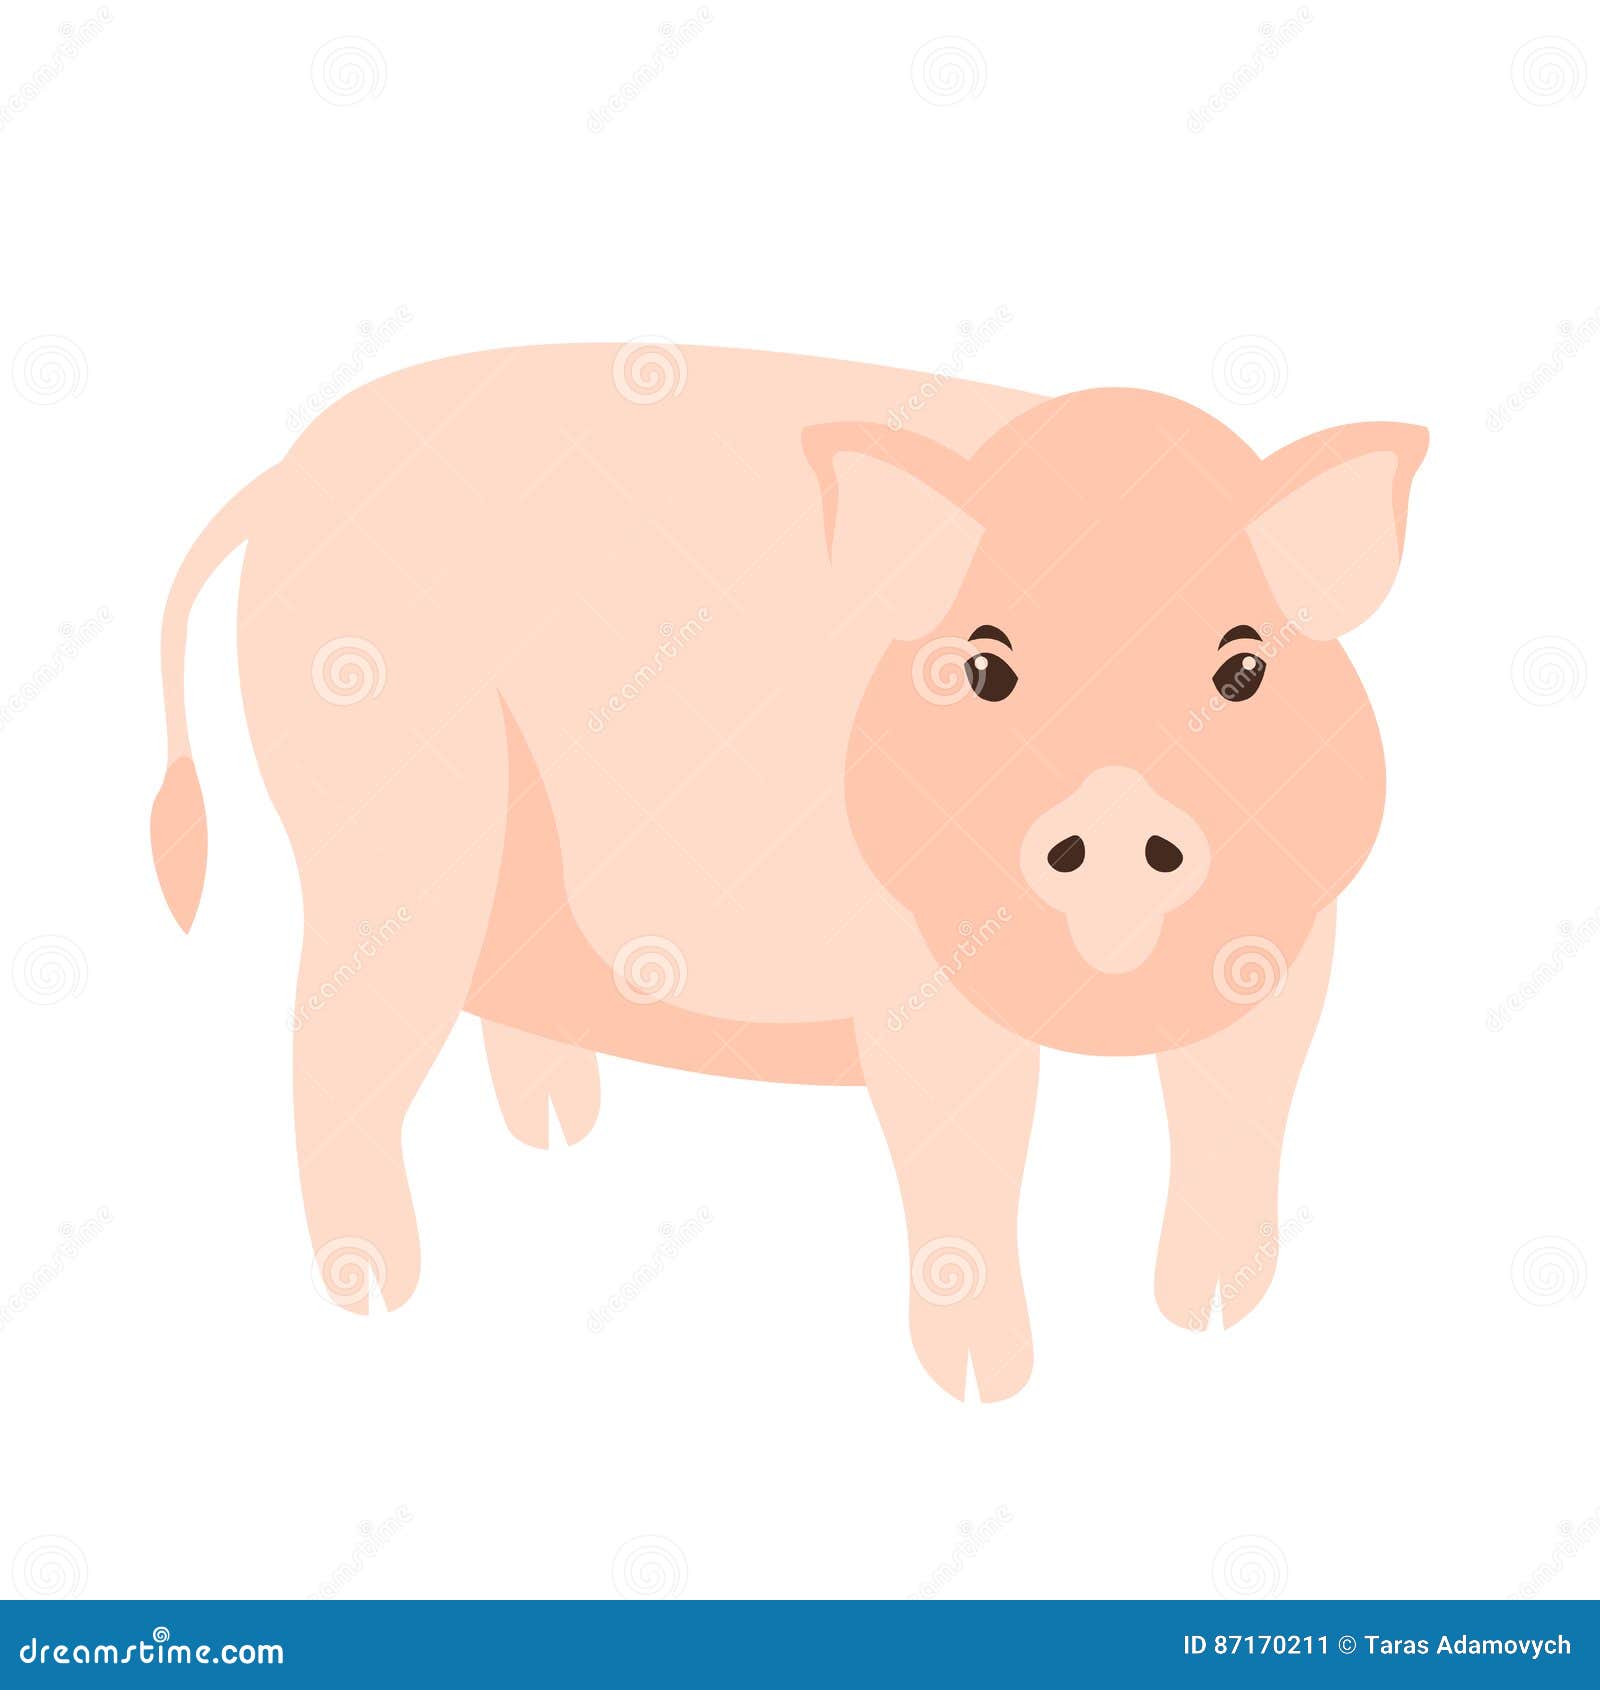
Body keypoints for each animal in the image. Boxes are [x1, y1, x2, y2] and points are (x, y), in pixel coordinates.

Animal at [150, 345, 1425, 1399]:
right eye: (982, 669)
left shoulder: (1295, 952)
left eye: (1243, 668)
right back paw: (380, 1296)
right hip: (387, 819)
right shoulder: (911, 986)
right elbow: (968, 1160)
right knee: (332, 1039)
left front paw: (1209, 1323)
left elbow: (1235, 1118)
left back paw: (559, 1138)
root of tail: (286, 475)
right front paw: (987, 1388)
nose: (1113, 806)